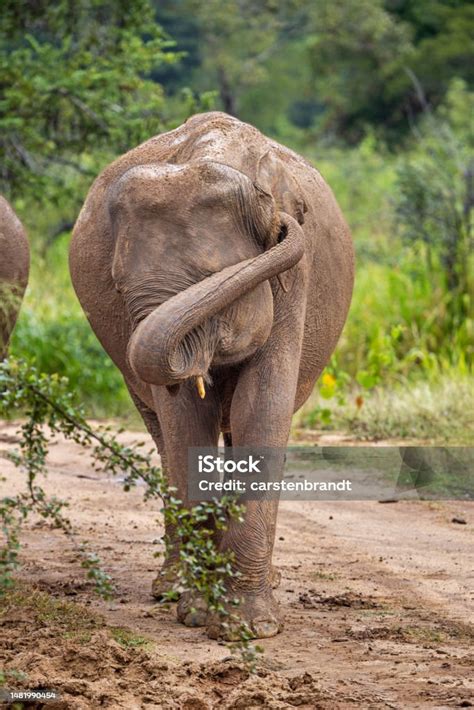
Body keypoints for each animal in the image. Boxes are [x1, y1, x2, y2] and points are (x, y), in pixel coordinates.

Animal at [69, 111, 354, 639]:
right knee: (164, 437)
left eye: (210, 278)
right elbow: (186, 419)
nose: (280, 225)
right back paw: (170, 588)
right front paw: (200, 613)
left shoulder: (293, 276)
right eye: (116, 286)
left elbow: (259, 408)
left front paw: (246, 628)